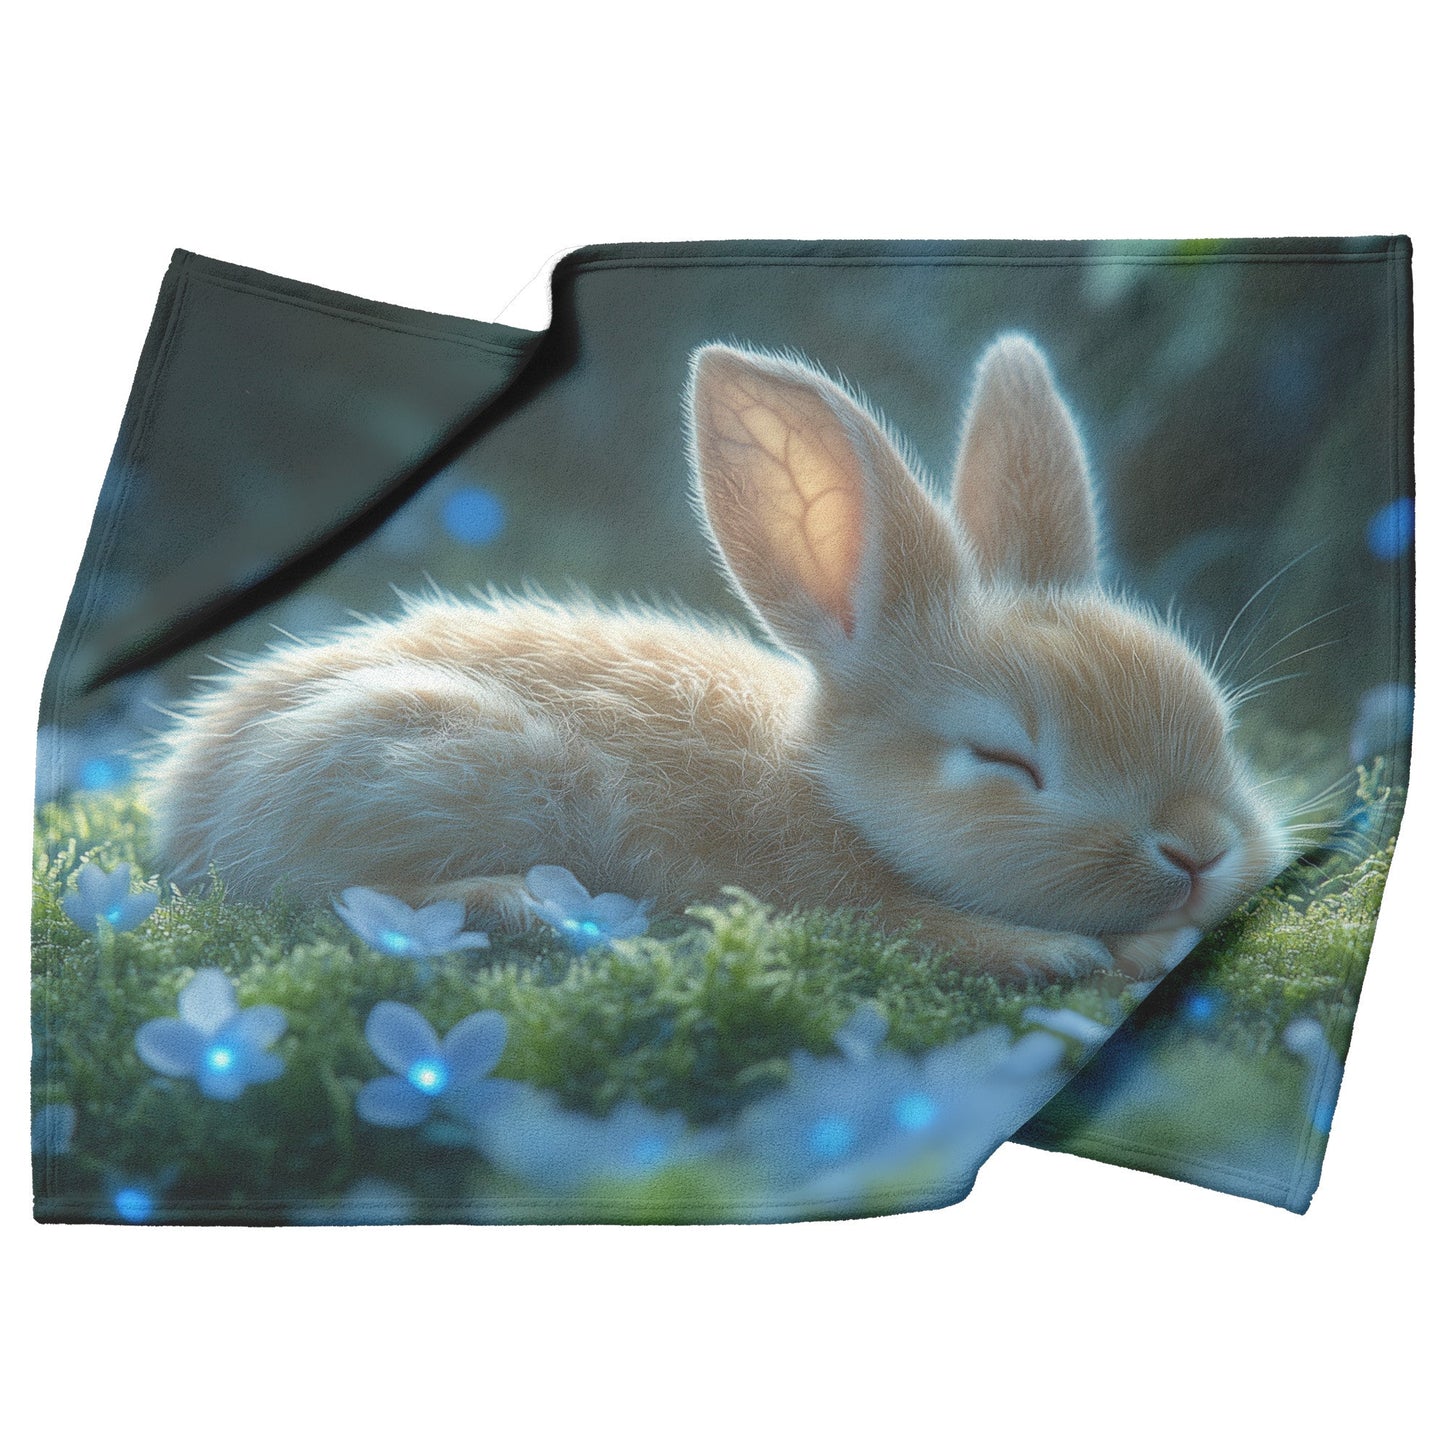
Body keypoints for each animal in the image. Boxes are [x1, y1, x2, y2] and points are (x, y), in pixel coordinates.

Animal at [146, 335, 1288, 979]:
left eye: (1219, 723)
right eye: (1002, 760)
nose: (1199, 849)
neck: (827, 787)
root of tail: (188, 803)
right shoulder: (828, 893)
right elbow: (929, 928)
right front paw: (1058, 953)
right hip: (427, 759)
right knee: (314, 895)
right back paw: (521, 900)